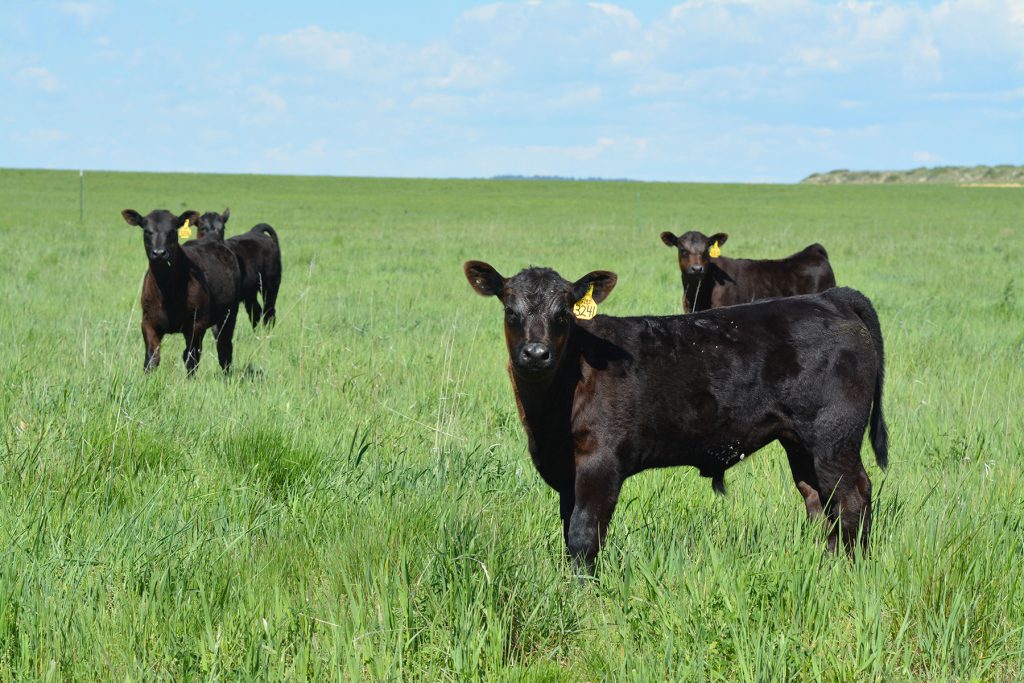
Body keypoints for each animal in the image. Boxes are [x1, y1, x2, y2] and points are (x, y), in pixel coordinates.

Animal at [122, 209, 241, 375]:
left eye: (172, 231)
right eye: (147, 231)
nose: (159, 253)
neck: (167, 291)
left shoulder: (197, 323)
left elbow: (191, 358)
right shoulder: (148, 321)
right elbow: (151, 358)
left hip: (229, 314)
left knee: (224, 347)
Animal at [464, 260, 888, 572]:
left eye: (564, 313)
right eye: (511, 311)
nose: (536, 353)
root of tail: (830, 297)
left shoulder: (601, 462)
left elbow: (584, 535)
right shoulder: (566, 471)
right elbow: (569, 532)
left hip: (834, 436)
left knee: (852, 496)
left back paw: (852, 569)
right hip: (799, 441)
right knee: (818, 499)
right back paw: (825, 563)